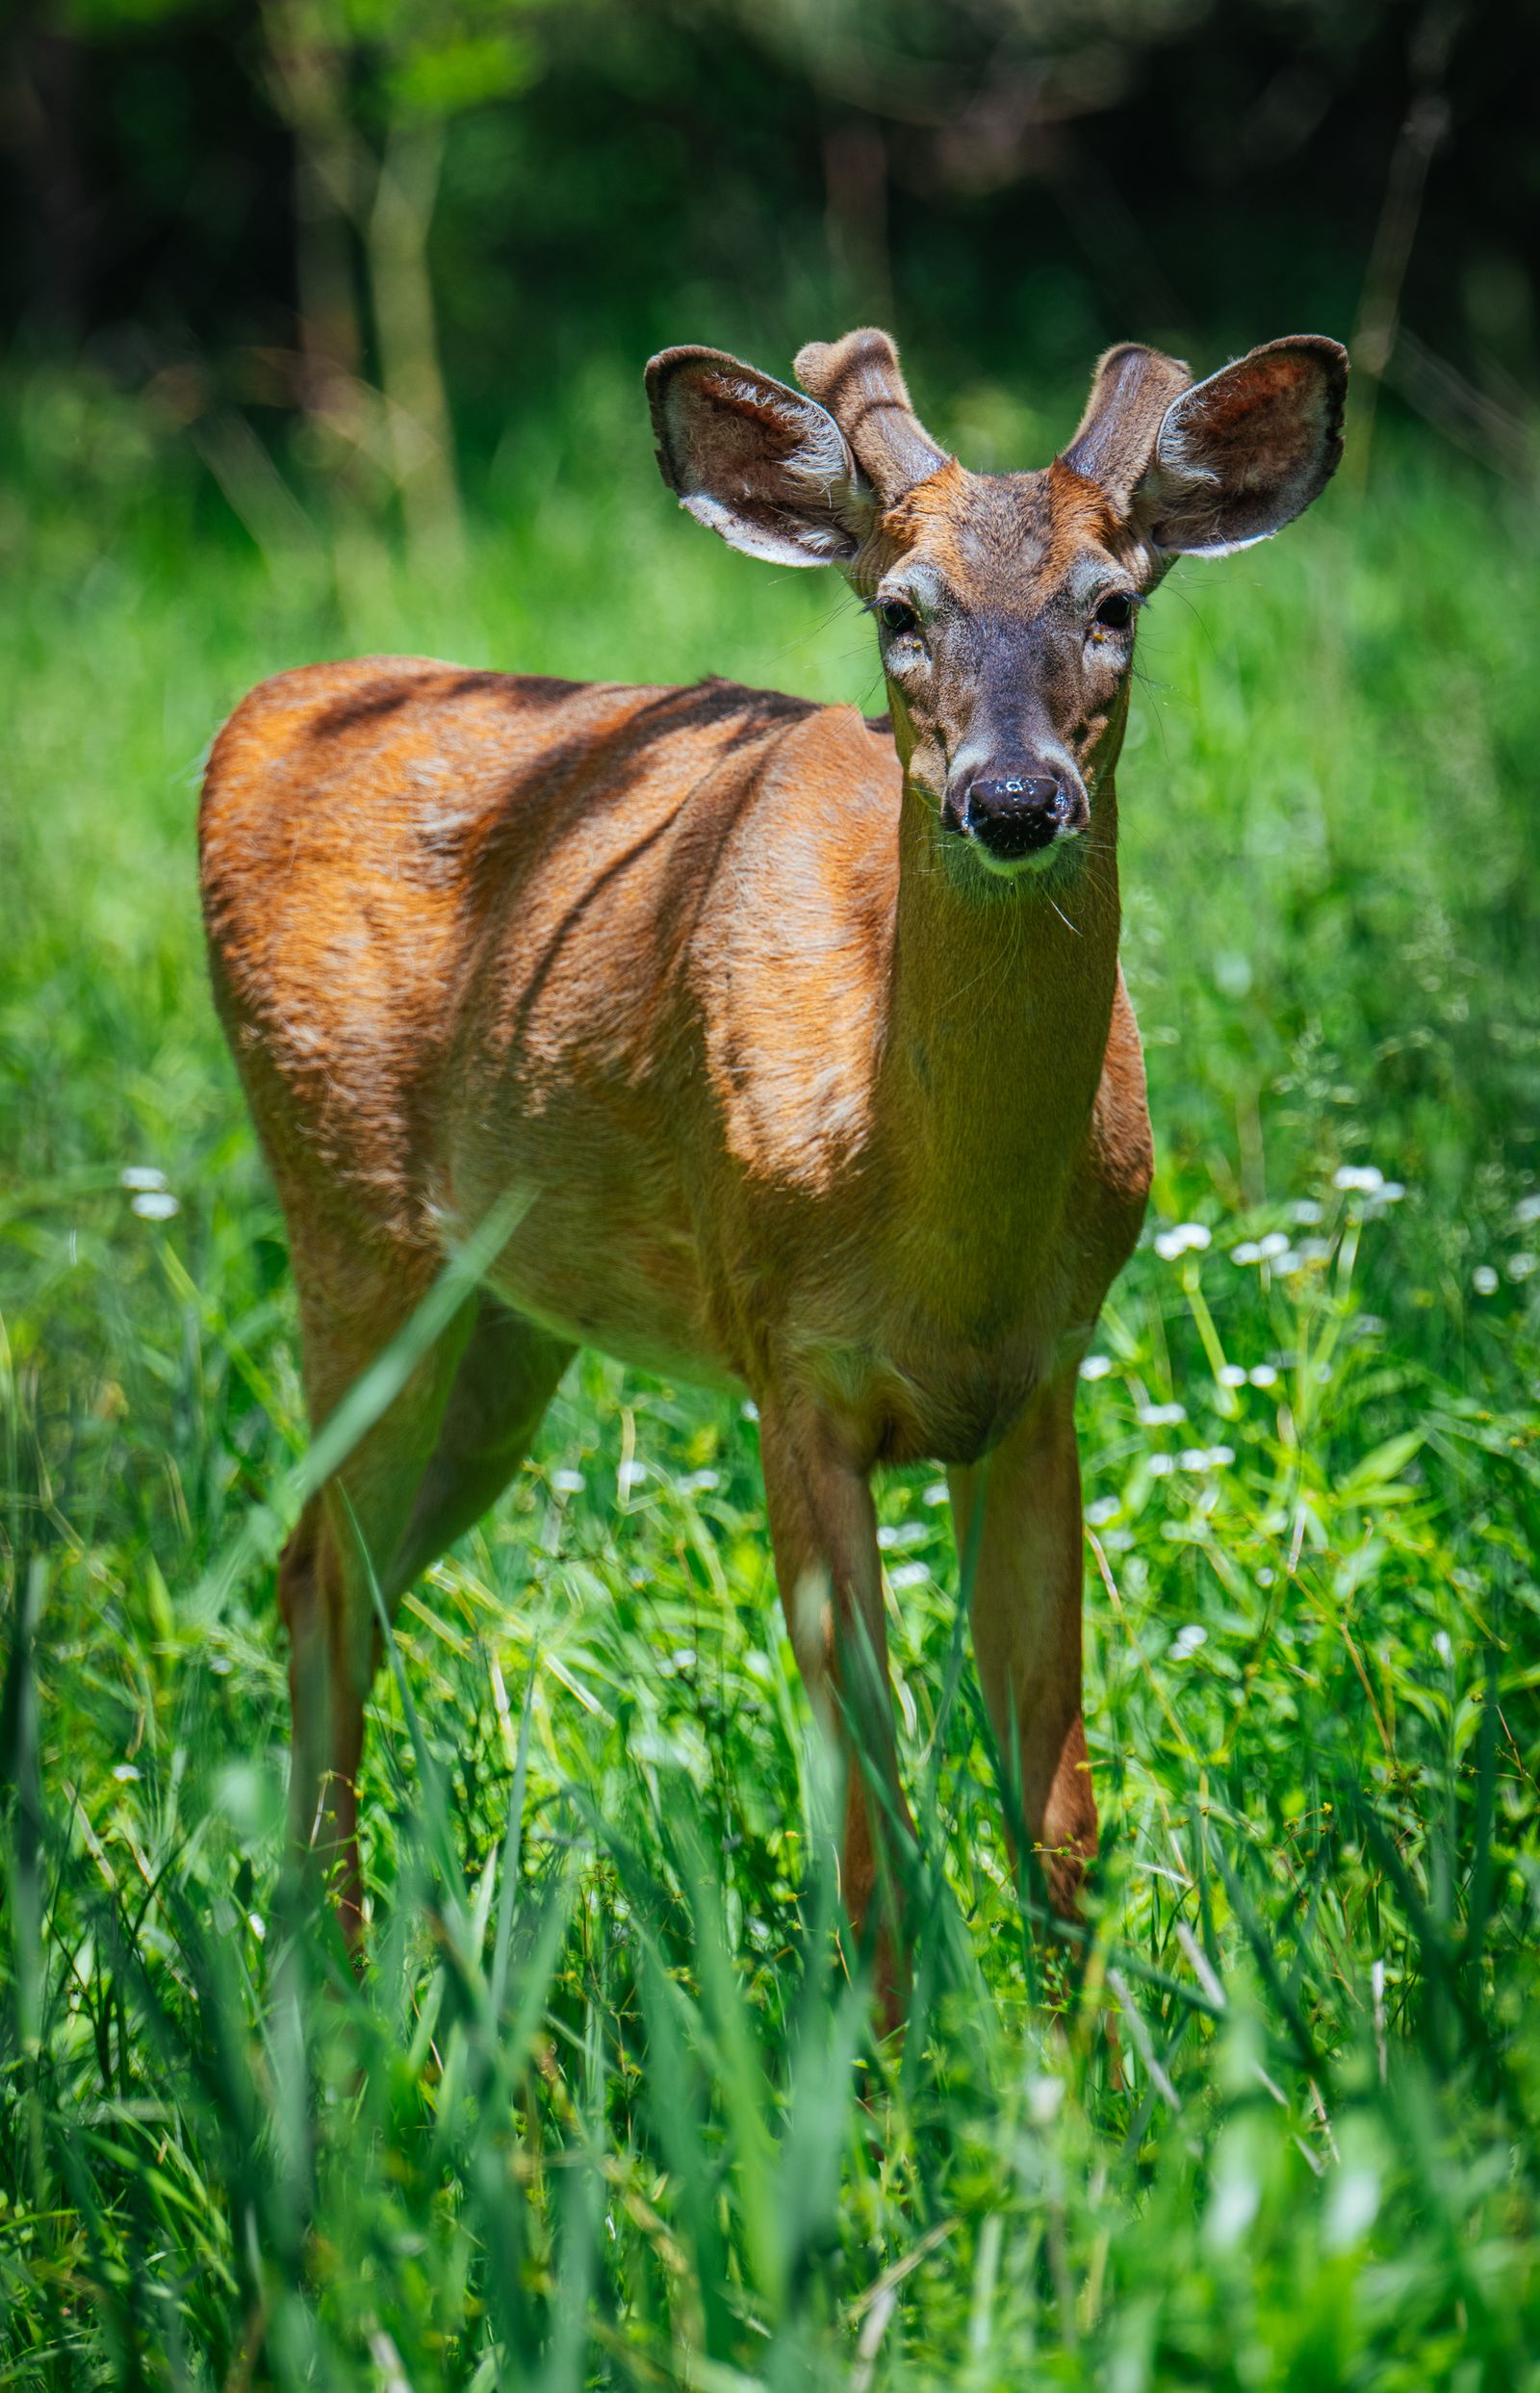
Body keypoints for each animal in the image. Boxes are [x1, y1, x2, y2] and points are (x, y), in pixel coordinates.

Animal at [199, 324, 1346, 1993]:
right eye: (899, 609)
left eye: (1114, 602)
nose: (1013, 800)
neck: (941, 1223)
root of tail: (268, 705)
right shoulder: (791, 1361)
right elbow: (866, 1797)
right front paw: (889, 2053)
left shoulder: (1042, 1381)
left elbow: (1057, 1799)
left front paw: (1080, 2055)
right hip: (348, 1228)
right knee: (325, 1577)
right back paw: (335, 1994)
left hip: (504, 1327)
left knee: (336, 1575)